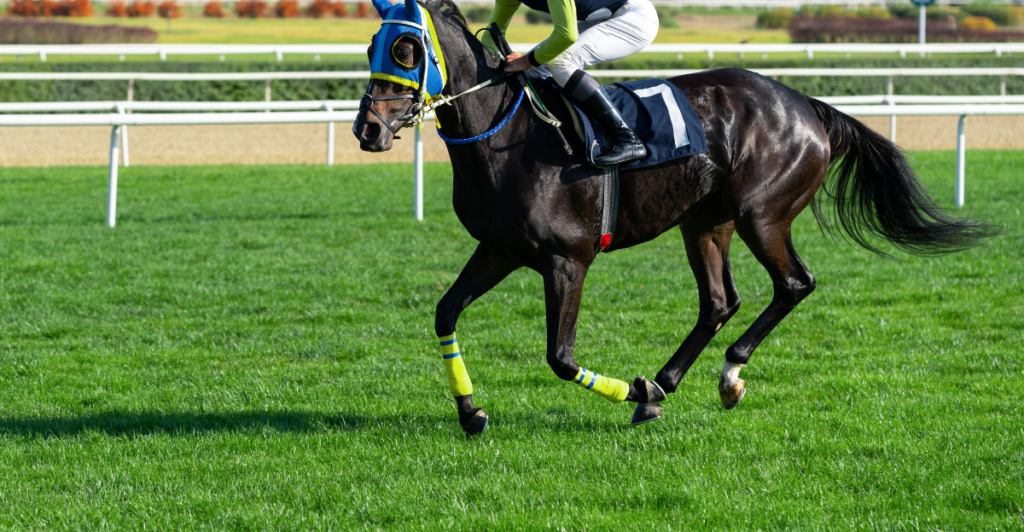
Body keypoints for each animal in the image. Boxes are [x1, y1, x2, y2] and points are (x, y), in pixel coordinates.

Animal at [354, 0, 993, 435]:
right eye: (369, 48)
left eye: (407, 50)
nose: (367, 130)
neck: (505, 135)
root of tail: (805, 104)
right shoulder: (499, 250)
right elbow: (444, 313)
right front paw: (471, 412)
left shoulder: (567, 260)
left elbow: (559, 357)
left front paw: (626, 387)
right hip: (705, 222)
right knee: (718, 302)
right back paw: (665, 385)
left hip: (762, 216)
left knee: (793, 284)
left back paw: (718, 375)